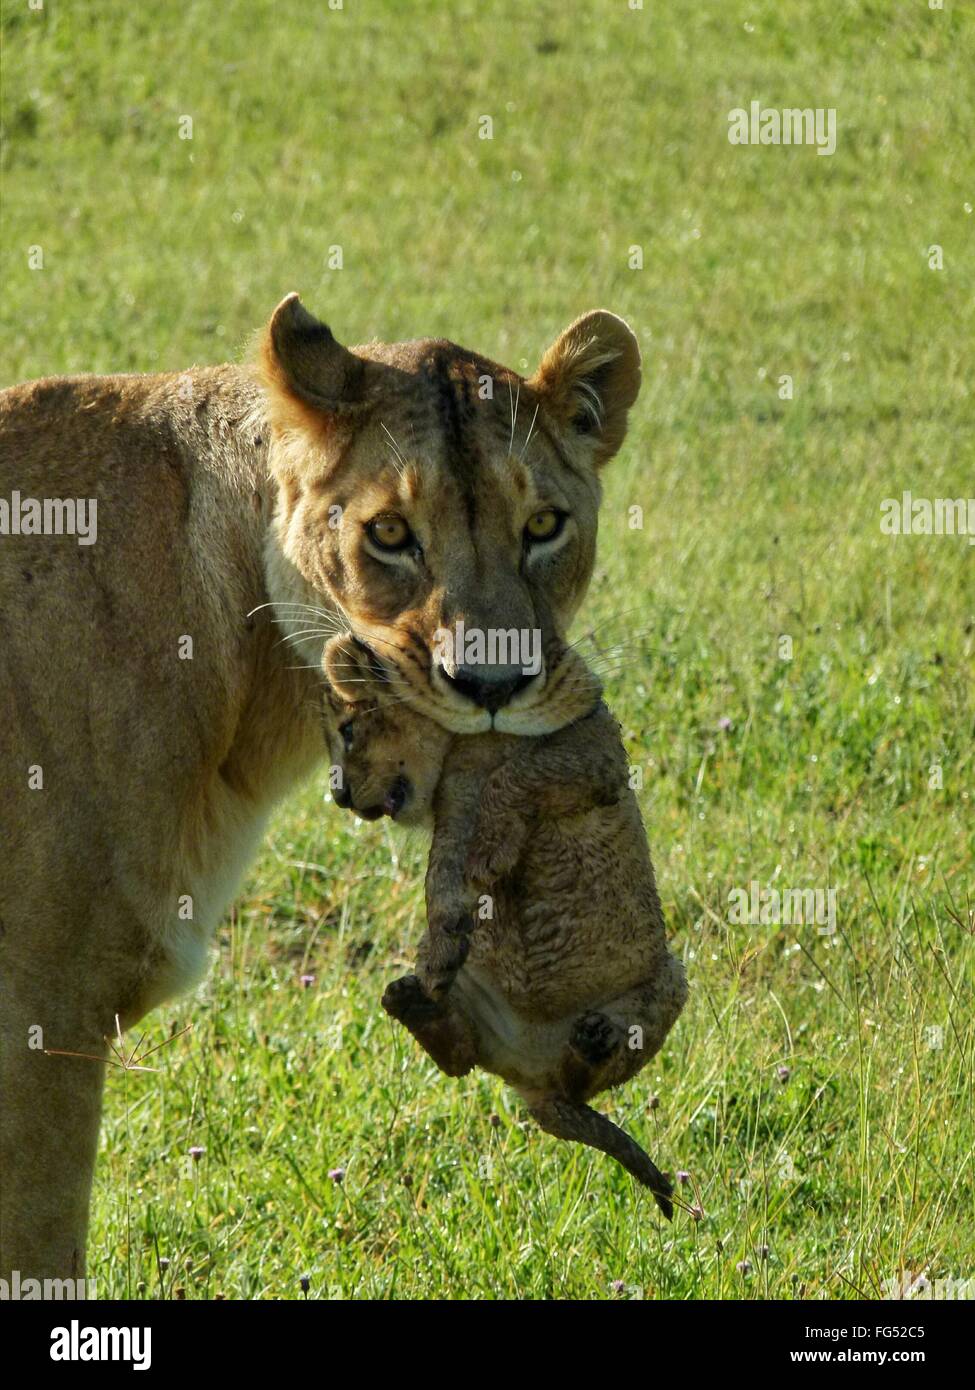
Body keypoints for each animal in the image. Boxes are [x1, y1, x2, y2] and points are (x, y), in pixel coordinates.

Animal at [322, 634, 687, 1217]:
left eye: (350, 730)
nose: (339, 798)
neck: (464, 746)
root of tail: (533, 1084)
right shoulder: (452, 807)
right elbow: (443, 878)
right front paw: (441, 946)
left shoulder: (595, 752)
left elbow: (517, 777)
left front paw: (494, 851)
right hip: (478, 1008)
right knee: (459, 1059)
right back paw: (415, 1001)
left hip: (673, 978)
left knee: (585, 1079)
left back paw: (594, 1040)